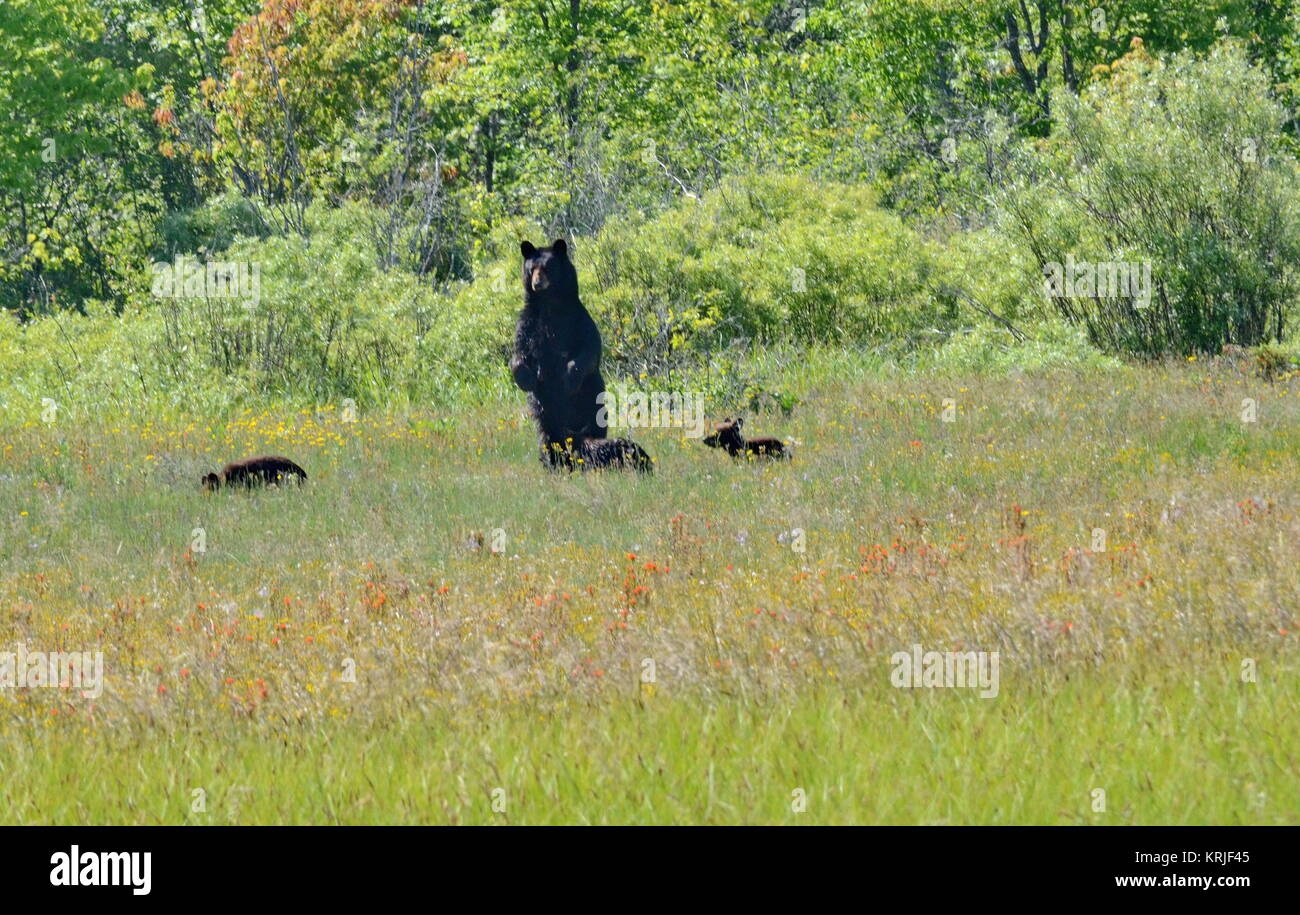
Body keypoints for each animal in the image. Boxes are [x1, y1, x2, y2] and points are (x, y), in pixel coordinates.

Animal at [510, 238, 652, 472]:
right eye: (532, 269)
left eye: (547, 267)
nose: (537, 283)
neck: (550, 306)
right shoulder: (528, 324)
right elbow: (518, 353)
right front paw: (526, 378)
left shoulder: (578, 321)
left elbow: (589, 351)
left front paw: (569, 379)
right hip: (544, 417)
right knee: (547, 438)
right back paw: (552, 462)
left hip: (593, 406)